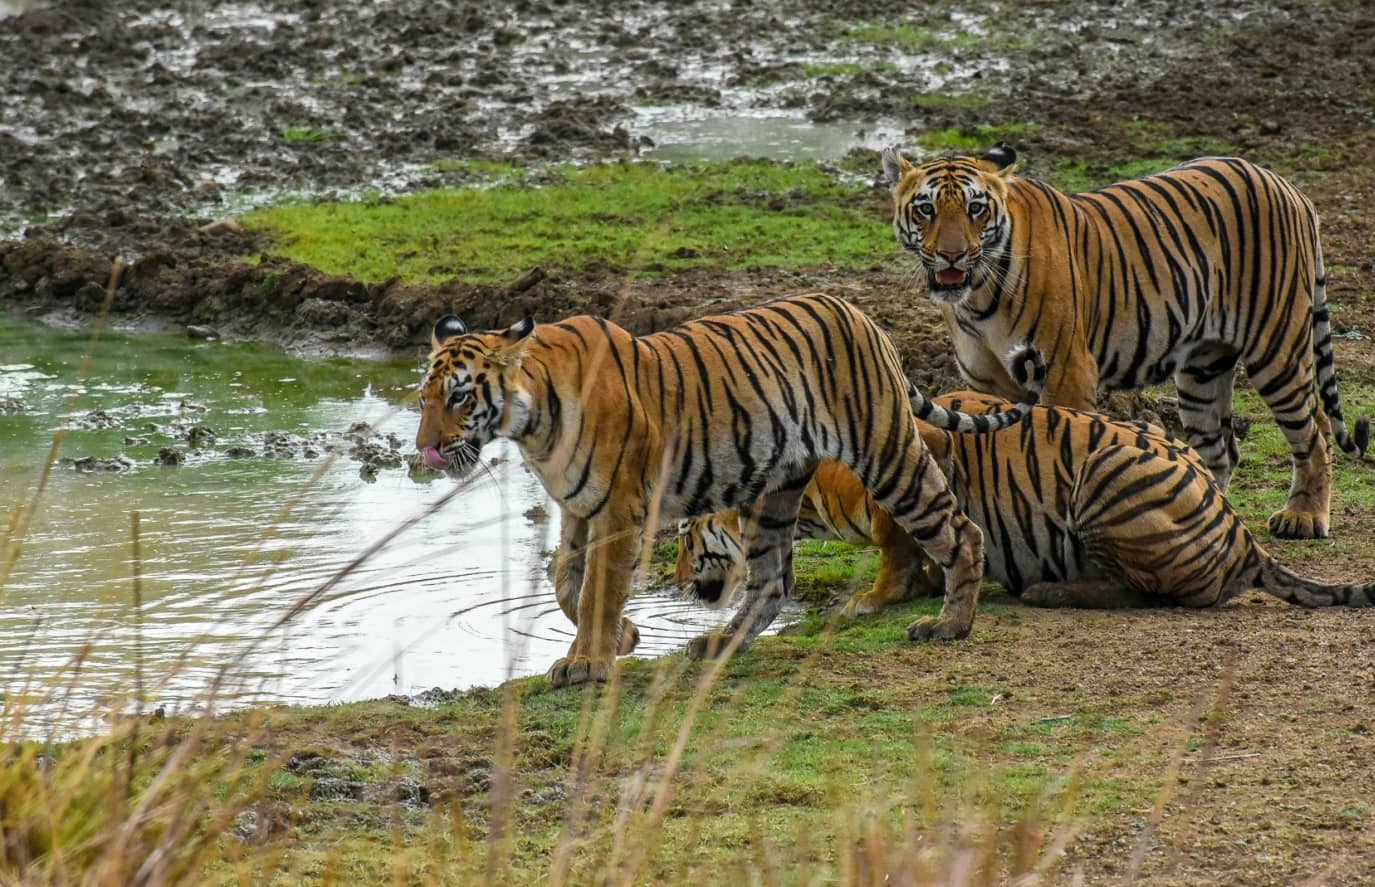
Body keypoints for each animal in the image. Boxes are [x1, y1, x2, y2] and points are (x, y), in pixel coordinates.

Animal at [414, 292, 1047, 686]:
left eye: (460, 396)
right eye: (424, 397)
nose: (425, 449)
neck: (532, 422)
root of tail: (861, 314)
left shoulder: (619, 507)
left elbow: (598, 588)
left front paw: (588, 663)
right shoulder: (578, 505)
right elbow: (566, 580)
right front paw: (622, 638)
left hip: (887, 452)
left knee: (961, 530)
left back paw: (950, 626)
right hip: (774, 495)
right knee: (772, 583)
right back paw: (720, 644)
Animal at [679, 392, 1375, 611]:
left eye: (682, 536)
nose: (679, 579)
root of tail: (1241, 536)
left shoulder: (922, 456)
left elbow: (900, 543)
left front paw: (873, 599)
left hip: (1103, 479)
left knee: (1149, 593)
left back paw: (1048, 589)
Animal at [881, 145, 1369, 541]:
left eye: (976, 208)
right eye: (926, 210)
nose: (952, 255)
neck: (978, 295)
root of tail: (1287, 185)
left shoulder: (1065, 371)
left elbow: (1059, 450)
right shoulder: (986, 384)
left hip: (1277, 347)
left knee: (1314, 430)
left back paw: (1303, 517)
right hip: (1202, 366)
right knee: (1221, 448)